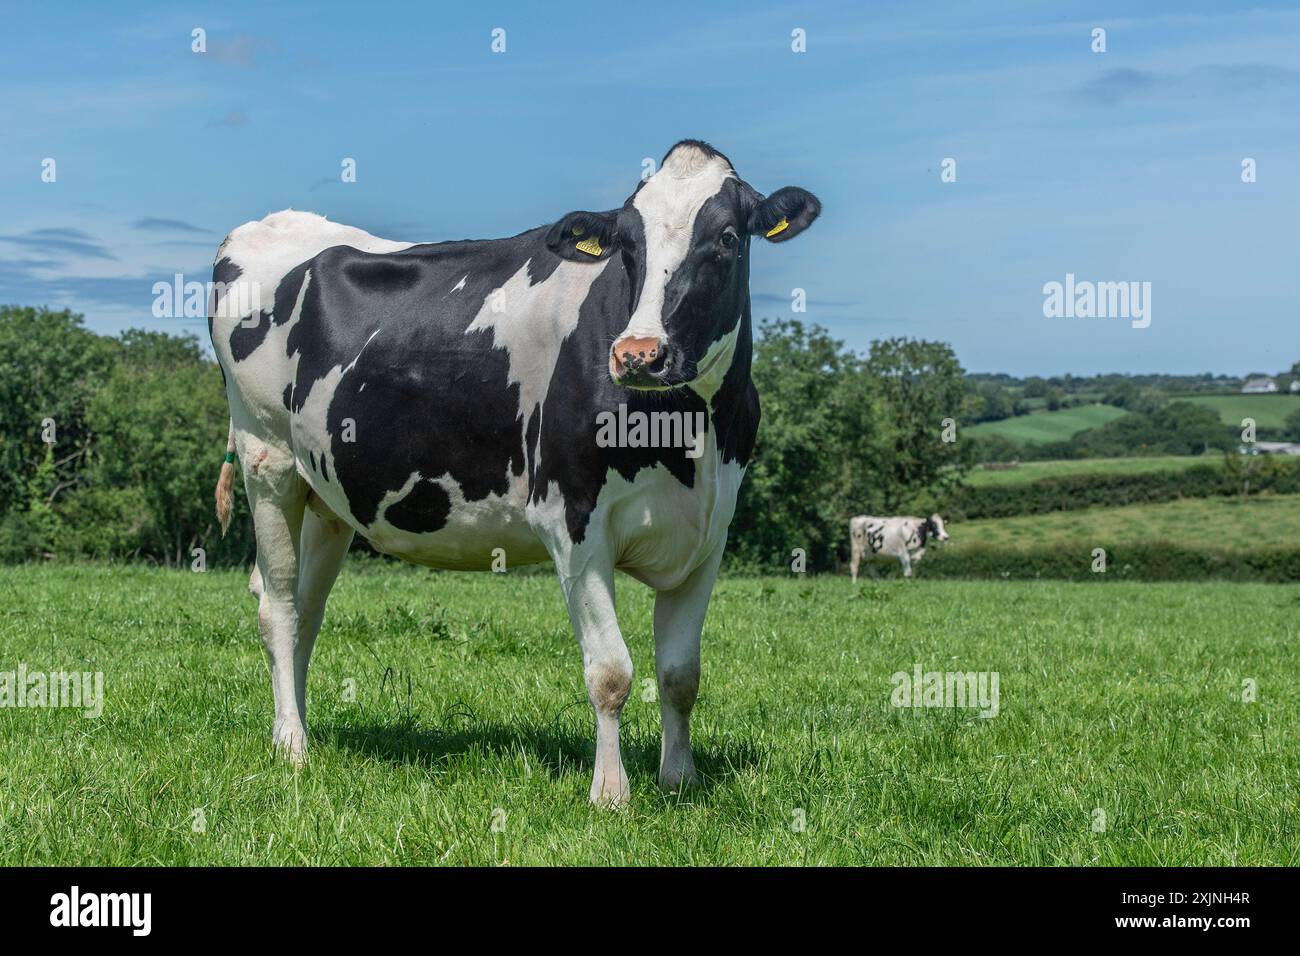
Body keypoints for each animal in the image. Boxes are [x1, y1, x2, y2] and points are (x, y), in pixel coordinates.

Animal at [208, 140, 820, 805]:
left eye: (728, 239)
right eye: (628, 246)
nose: (638, 354)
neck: (685, 436)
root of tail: (263, 226)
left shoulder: (709, 533)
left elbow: (681, 674)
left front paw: (679, 780)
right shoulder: (572, 522)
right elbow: (611, 672)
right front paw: (611, 793)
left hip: (327, 495)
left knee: (308, 613)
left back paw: (296, 730)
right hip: (267, 458)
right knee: (278, 607)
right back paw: (291, 746)